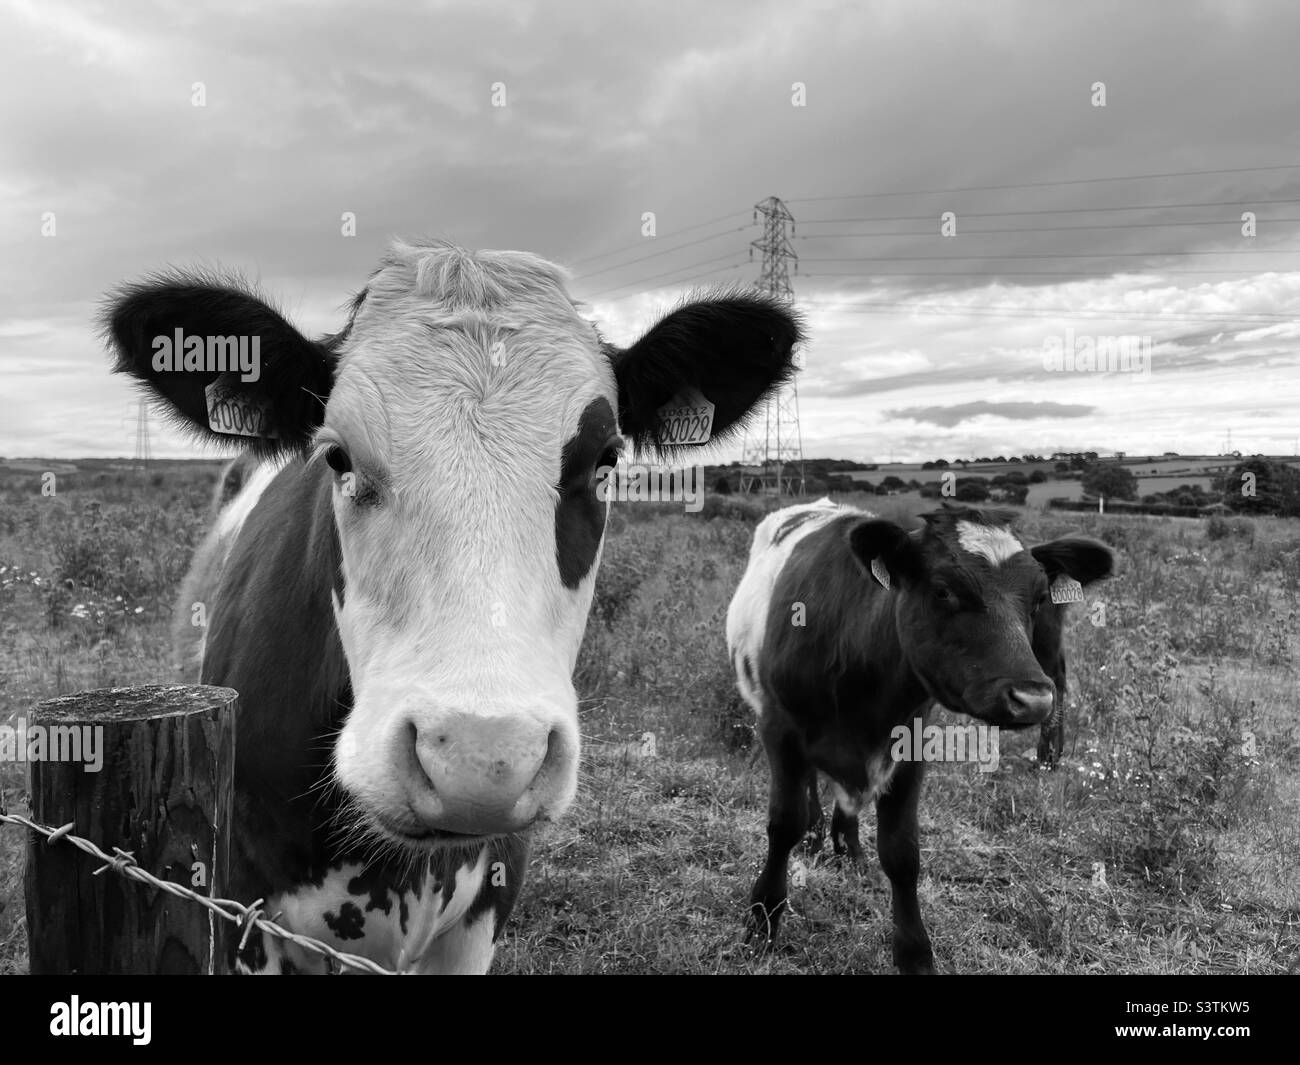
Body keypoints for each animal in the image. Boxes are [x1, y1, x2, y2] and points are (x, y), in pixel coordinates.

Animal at [725, 498, 1112, 973]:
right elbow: (784, 824)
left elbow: (902, 852)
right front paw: (761, 922)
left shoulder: (909, 744)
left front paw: (915, 953)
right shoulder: (779, 729)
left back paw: (849, 849)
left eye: (1040, 598)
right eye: (944, 590)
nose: (1034, 699)